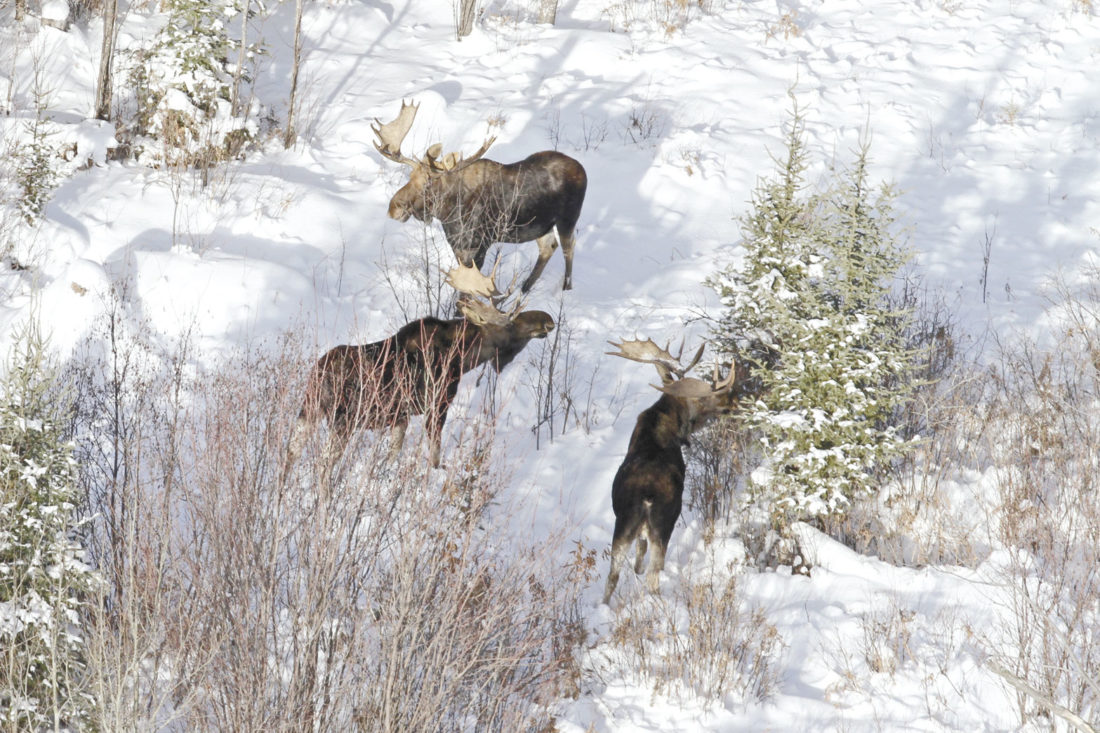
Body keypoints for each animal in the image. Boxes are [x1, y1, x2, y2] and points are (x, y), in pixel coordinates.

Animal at [283, 261, 554, 486]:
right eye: (510, 323)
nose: (547, 320)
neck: (462, 358)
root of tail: (318, 375)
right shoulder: (437, 404)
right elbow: (434, 456)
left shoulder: (399, 417)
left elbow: (392, 456)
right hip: (343, 420)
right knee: (323, 465)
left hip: (308, 410)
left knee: (291, 454)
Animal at [372, 100, 587, 293]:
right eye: (410, 177)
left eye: (428, 182)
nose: (393, 208)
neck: (448, 214)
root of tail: (582, 170)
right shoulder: (459, 248)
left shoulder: (479, 246)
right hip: (541, 225)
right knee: (549, 246)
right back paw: (525, 288)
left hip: (567, 219)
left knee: (569, 248)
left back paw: (565, 289)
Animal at [601, 338, 751, 604]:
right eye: (720, 400)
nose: (737, 403)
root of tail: (646, 498)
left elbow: (637, 557)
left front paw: (636, 569)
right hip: (664, 522)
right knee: (653, 575)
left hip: (624, 524)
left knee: (612, 576)